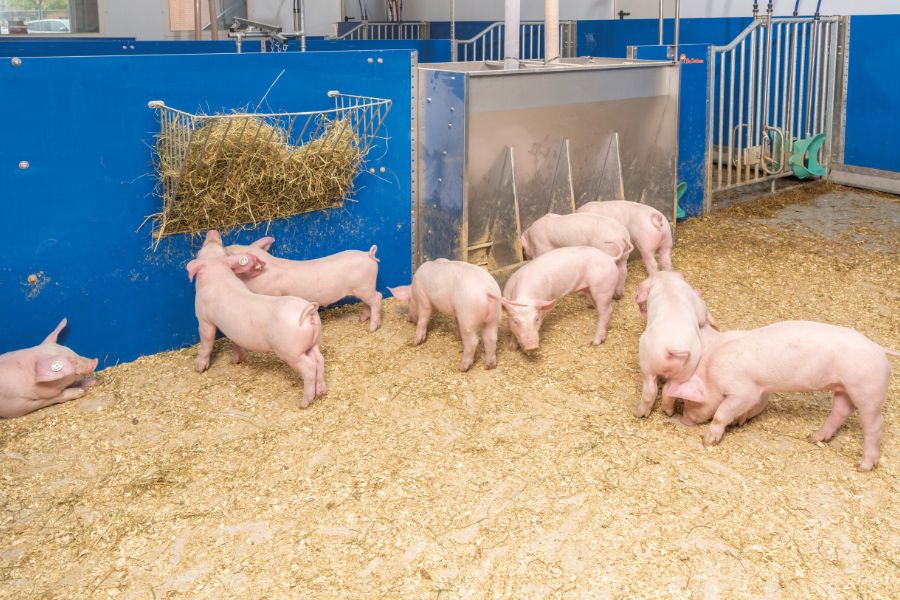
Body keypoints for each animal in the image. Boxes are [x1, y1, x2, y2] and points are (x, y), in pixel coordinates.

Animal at [188, 230, 325, 408]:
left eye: (199, 252)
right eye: (223, 250)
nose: (212, 232)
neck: (217, 274)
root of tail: (308, 312)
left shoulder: (204, 318)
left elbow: (206, 341)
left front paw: (199, 368)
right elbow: (236, 343)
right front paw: (236, 361)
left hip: (291, 351)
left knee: (309, 368)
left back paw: (303, 403)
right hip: (313, 343)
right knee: (319, 360)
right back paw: (321, 392)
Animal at [225, 237, 382, 332]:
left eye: (233, 254)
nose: (226, 247)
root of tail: (368, 254)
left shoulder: (271, 293)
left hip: (364, 286)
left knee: (377, 298)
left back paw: (371, 329)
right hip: (364, 288)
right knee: (369, 302)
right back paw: (361, 320)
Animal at [633, 271, 717, 419]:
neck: (666, 282)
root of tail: (671, 348)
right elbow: (701, 315)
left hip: (657, 363)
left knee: (657, 389)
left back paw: (647, 413)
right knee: (659, 390)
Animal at [664, 320, 900, 471]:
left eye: (688, 401)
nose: (684, 421)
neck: (711, 372)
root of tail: (879, 350)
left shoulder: (743, 390)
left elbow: (722, 413)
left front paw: (707, 441)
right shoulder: (759, 390)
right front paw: (739, 422)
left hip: (867, 390)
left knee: (875, 424)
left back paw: (863, 467)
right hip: (844, 388)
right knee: (840, 411)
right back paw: (813, 438)